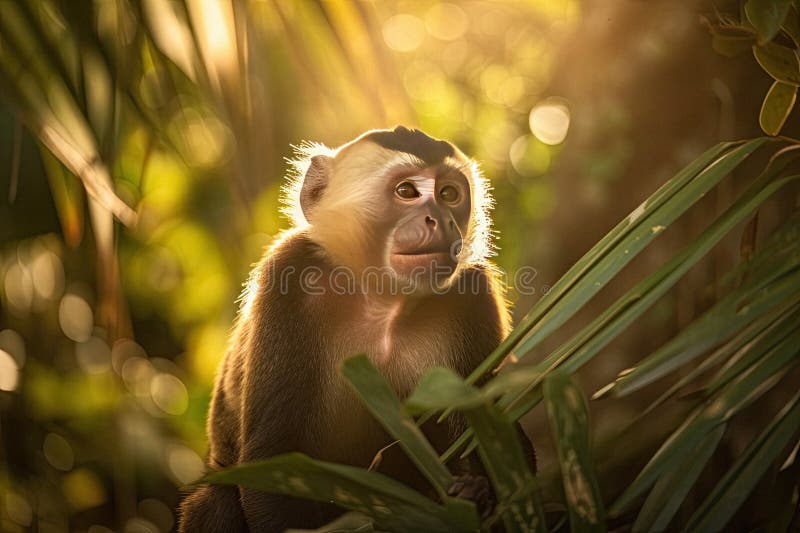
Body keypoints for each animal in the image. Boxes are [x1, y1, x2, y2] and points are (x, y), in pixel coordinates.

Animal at [178, 126, 535, 532]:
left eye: (449, 194)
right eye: (407, 191)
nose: (440, 220)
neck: (383, 302)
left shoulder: (474, 294)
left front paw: (478, 493)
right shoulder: (288, 275)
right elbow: (273, 462)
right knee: (216, 499)